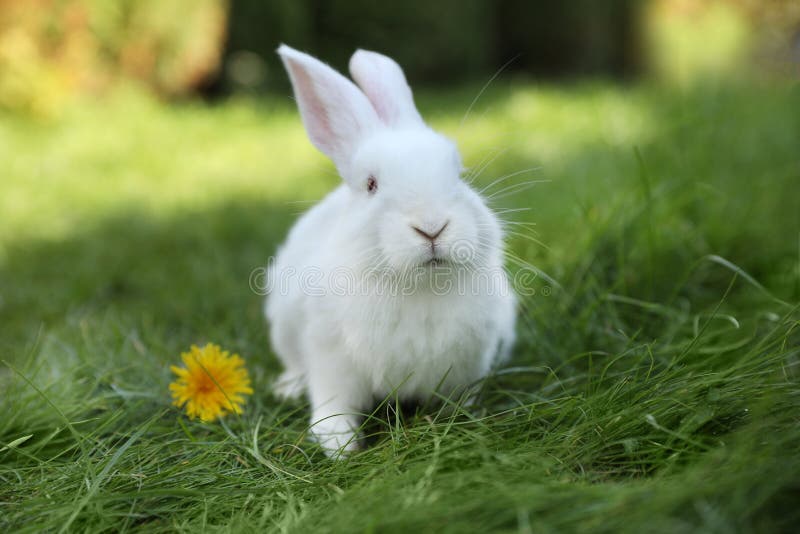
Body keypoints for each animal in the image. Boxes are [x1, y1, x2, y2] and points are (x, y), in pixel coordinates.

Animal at [265, 44, 517, 457]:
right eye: (371, 184)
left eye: (458, 173)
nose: (432, 227)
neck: (420, 287)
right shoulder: (332, 358)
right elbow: (334, 403)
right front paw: (338, 446)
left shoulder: (469, 365)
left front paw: (464, 420)